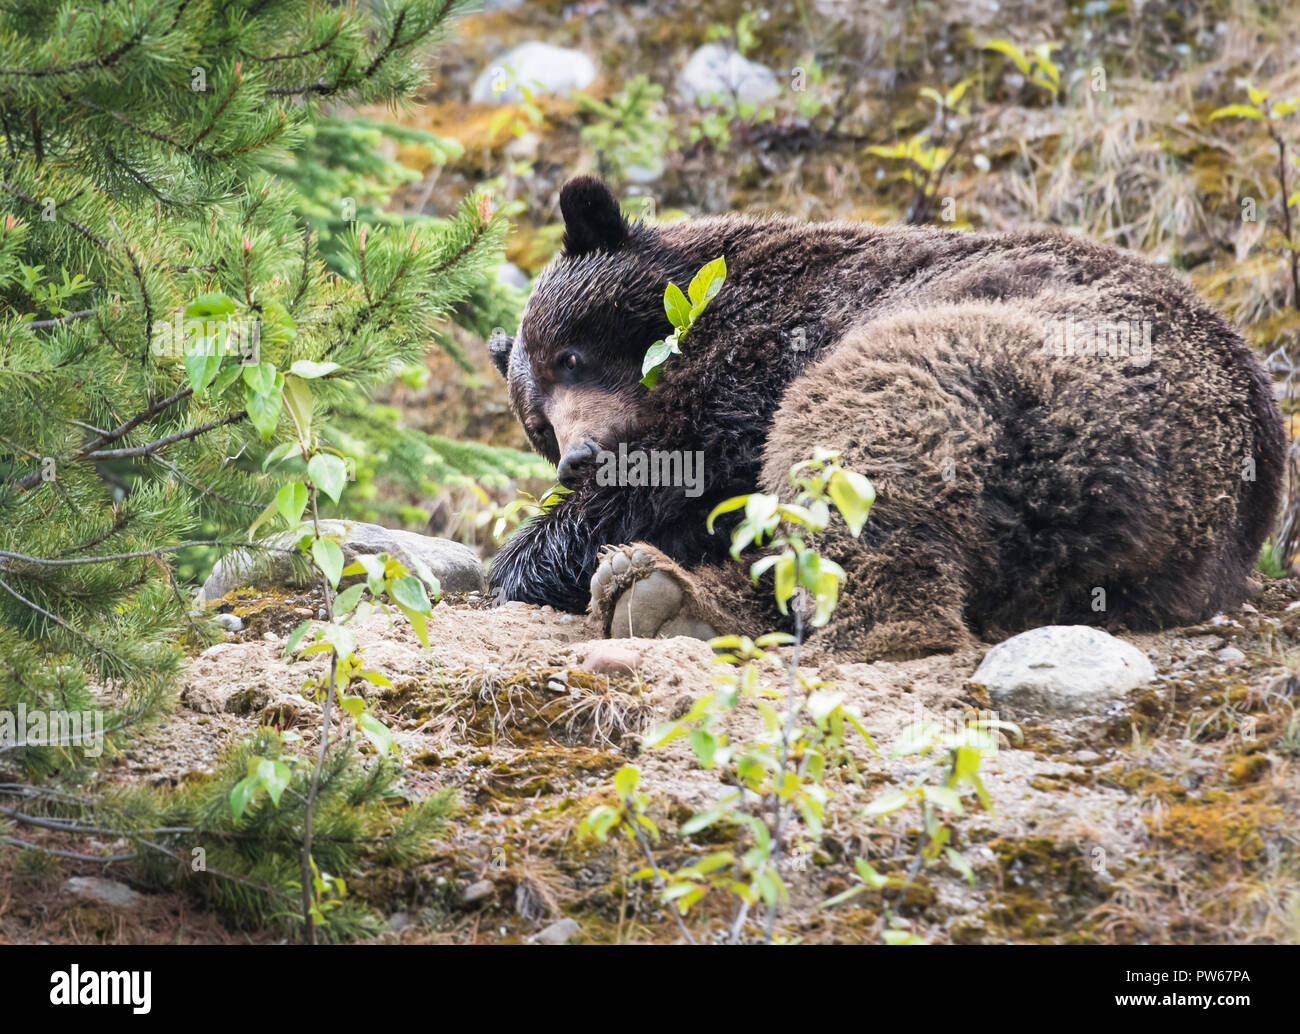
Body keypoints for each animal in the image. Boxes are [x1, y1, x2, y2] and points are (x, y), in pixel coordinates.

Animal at [485, 175, 1286, 662]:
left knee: (852, 460)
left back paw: (671, 595)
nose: (578, 455)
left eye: (570, 355)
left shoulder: (770, 347)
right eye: (537, 426)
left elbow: (688, 467)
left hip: (1026, 361)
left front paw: (530, 558)